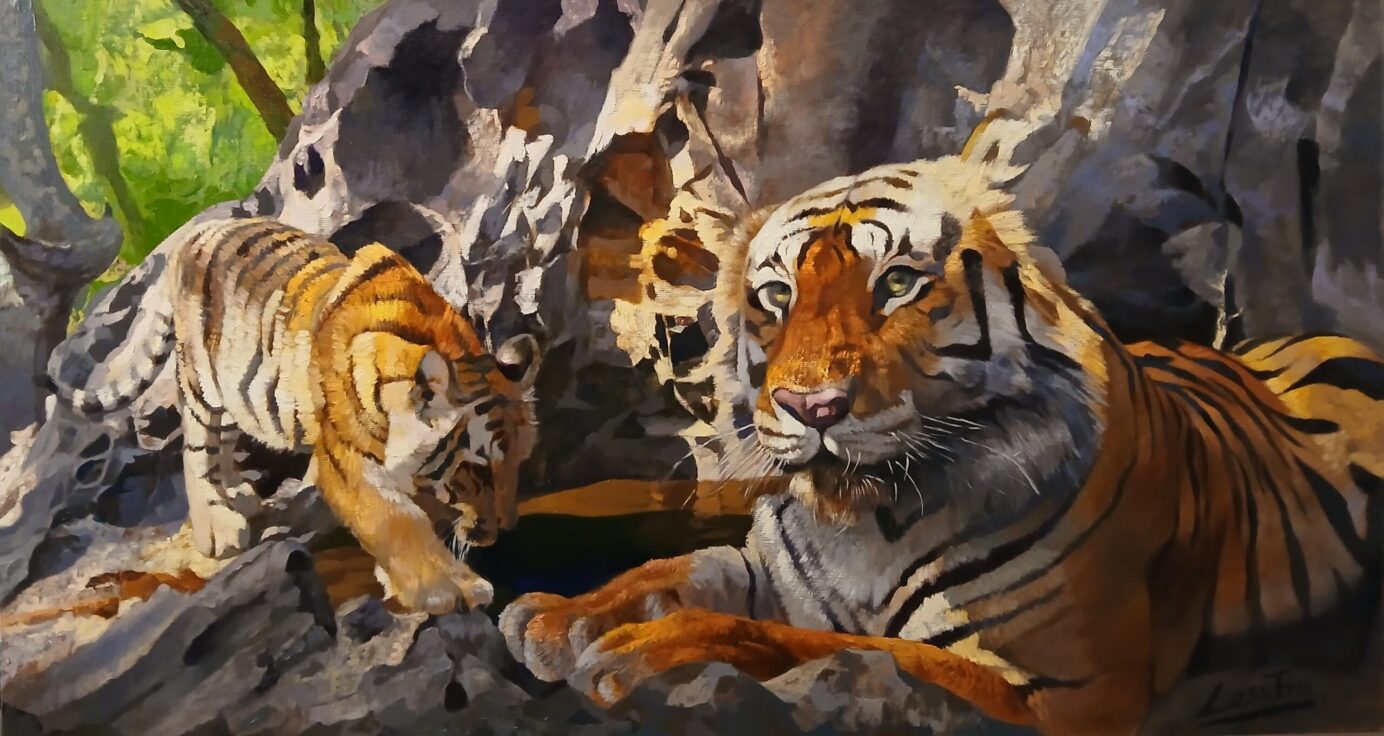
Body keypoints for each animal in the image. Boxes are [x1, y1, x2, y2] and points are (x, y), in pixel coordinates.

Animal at [49, 217, 540, 614]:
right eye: (477, 470)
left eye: (519, 462)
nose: (504, 528)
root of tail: (198, 229)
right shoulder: (344, 462)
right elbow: (398, 522)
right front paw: (450, 590)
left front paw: (404, 584)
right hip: (201, 379)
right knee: (196, 447)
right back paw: (218, 525)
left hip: (238, 389)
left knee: (226, 439)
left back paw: (239, 494)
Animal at [499, 153, 1383, 733]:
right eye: (777, 296)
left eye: (897, 283)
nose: (810, 406)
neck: (862, 521)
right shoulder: (770, 569)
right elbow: (680, 570)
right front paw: (557, 618)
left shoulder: (1058, 689)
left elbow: (802, 639)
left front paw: (629, 654)